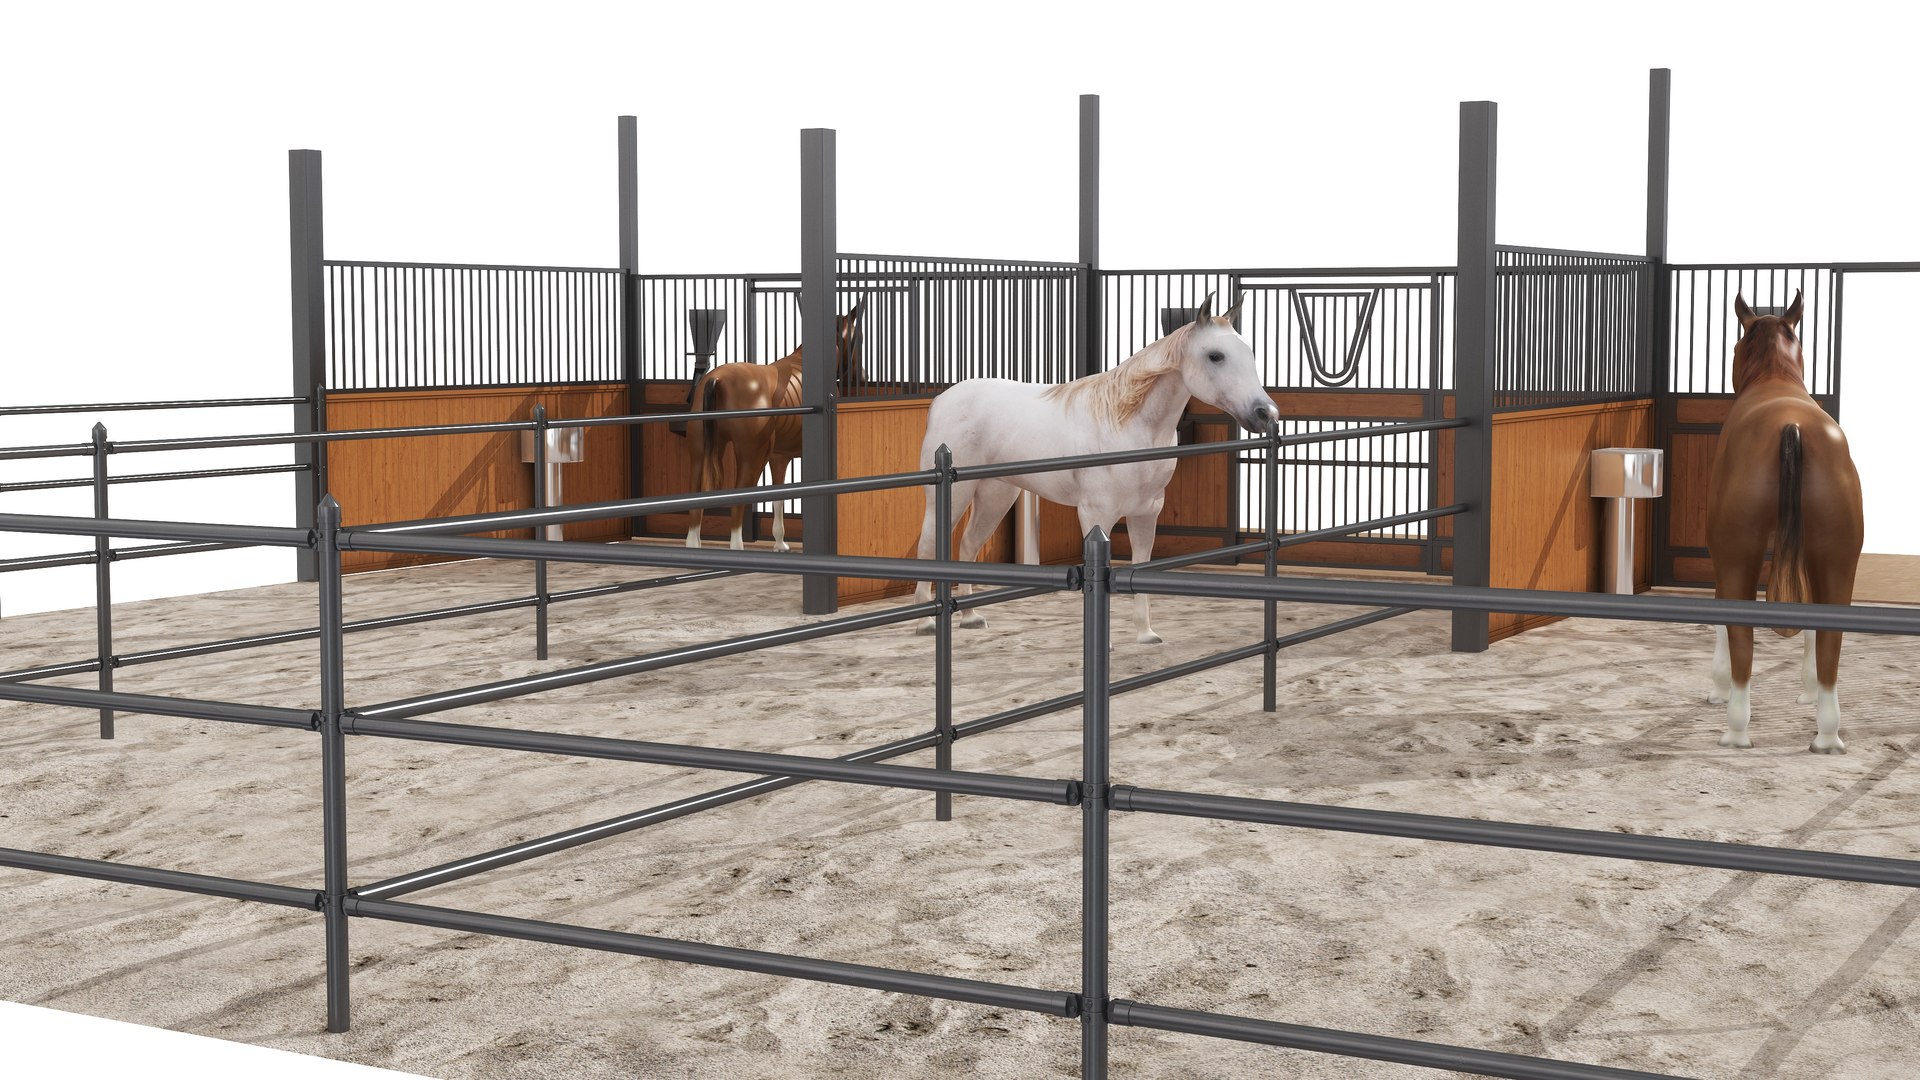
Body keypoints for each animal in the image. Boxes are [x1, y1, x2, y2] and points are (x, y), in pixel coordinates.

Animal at [685, 302, 864, 551]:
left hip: (700, 453)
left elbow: (778, 496)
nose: (862, 378)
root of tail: (716, 380)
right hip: (751, 457)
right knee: (737, 502)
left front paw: (780, 543)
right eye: (860, 338)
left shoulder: (780, 456)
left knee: (695, 502)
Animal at [911, 292, 1277, 644]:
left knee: (968, 544)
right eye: (1216, 356)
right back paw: (925, 622)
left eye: (1250, 353)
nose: (1266, 413)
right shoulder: (1095, 515)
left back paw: (971, 617)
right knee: (929, 545)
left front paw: (1146, 634)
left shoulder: (1146, 513)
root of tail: (943, 399)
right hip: (953, 495)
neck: (1127, 425)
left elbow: (1140, 566)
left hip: (996, 495)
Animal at [1707, 290, 1863, 753]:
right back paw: (1827, 734)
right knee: (1830, 638)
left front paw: (1717, 688)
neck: (1775, 379)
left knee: (1741, 634)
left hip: (1737, 552)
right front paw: (1807, 690)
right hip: (1837, 556)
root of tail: (1791, 427)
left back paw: (1736, 729)